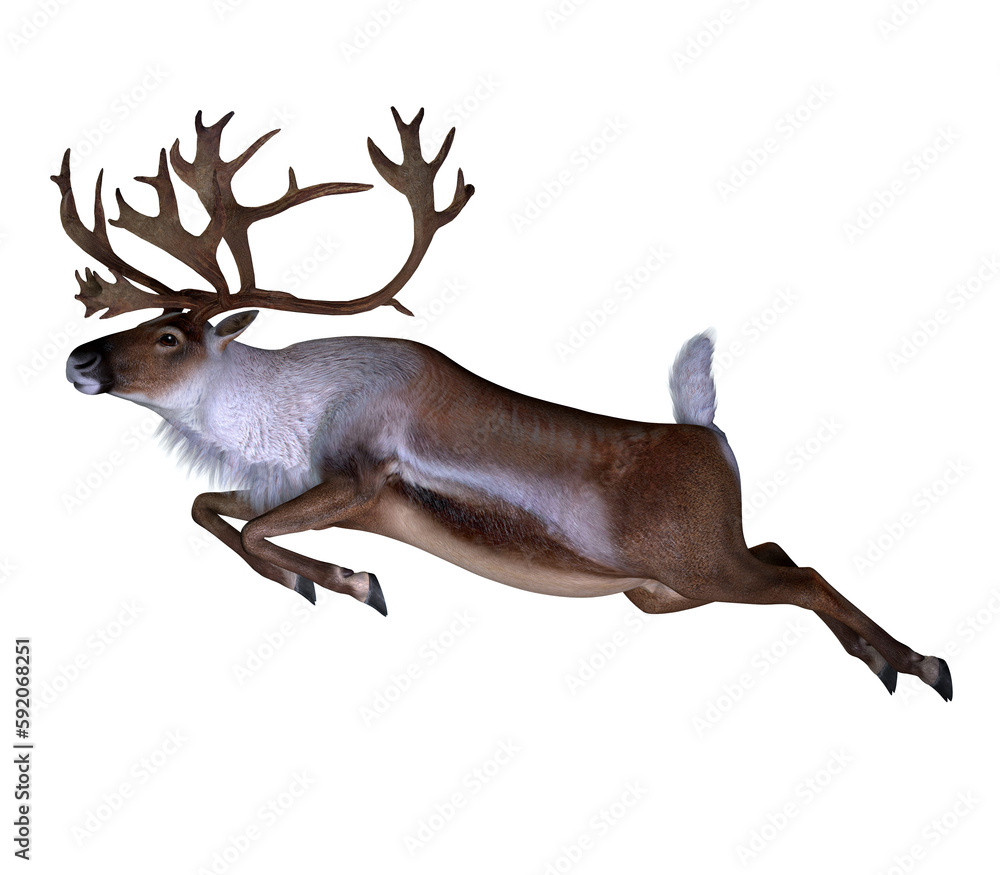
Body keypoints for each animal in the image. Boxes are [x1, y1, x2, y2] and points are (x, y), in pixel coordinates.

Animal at [59, 108, 952, 701]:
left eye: (173, 335)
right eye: (139, 321)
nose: (79, 357)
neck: (285, 414)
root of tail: (712, 436)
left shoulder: (359, 478)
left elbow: (245, 527)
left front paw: (355, 581)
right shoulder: (313, 491)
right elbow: (213, 512)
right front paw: (322, 579)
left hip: (695, 562)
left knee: (804, 572)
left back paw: (922, 663)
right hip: (667, 586)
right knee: (780, 551)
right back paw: (884, 658)